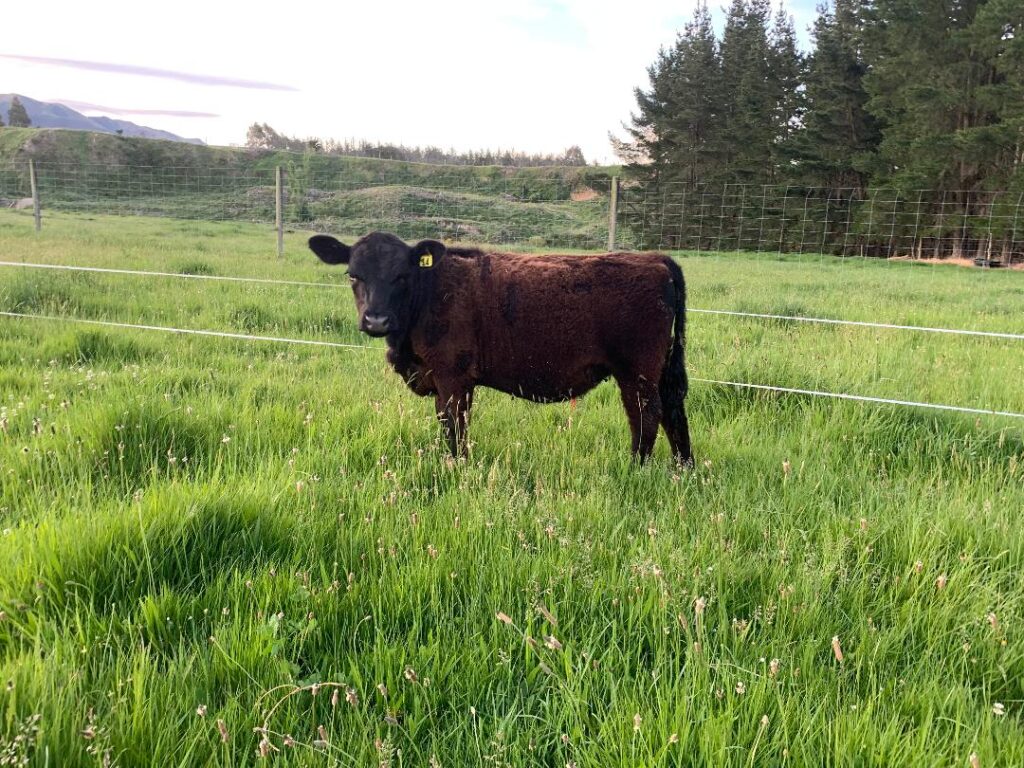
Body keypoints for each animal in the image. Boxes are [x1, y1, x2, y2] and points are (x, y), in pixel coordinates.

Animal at [308, 231, 692, 465]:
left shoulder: (453, 377)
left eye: (402, 275)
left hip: (636, 372)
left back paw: (635, 468)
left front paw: (457, 467)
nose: (376, 320)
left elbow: (455, 427)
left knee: (646, 417)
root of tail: (656, 259)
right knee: (673, 413)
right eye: (353, 275)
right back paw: (682, 469)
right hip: (659, 370)